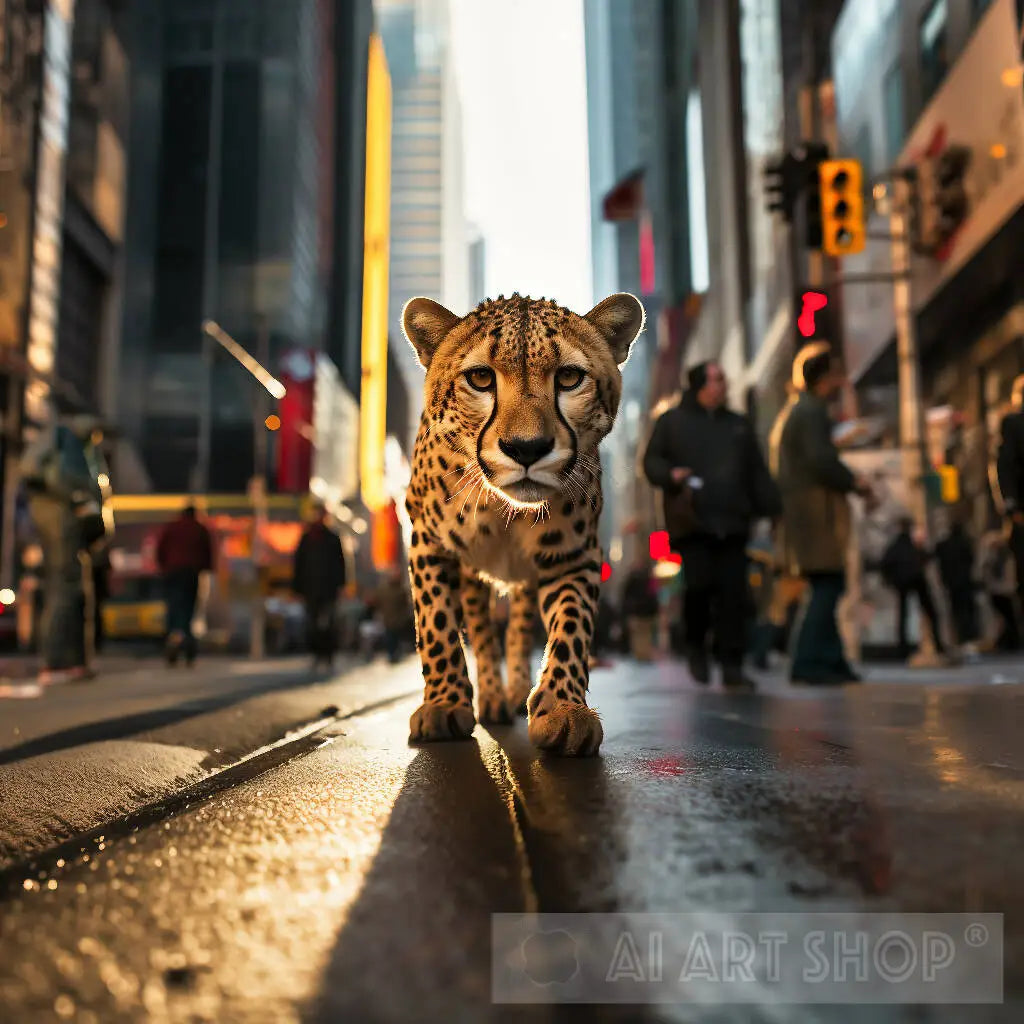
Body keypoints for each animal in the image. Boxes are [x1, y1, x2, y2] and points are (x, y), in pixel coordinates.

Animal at [401, 290, 645, 756]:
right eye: (480, 378)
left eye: (569, 378)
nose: (526, 448)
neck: (505, 510)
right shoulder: (429, 541)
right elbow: (437, 623)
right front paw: (443, 705)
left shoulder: (573, 555)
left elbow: (571, 627)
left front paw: (563, 710)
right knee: (480, 630)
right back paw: (493, 698)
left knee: (517, 627)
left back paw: (514, 692)